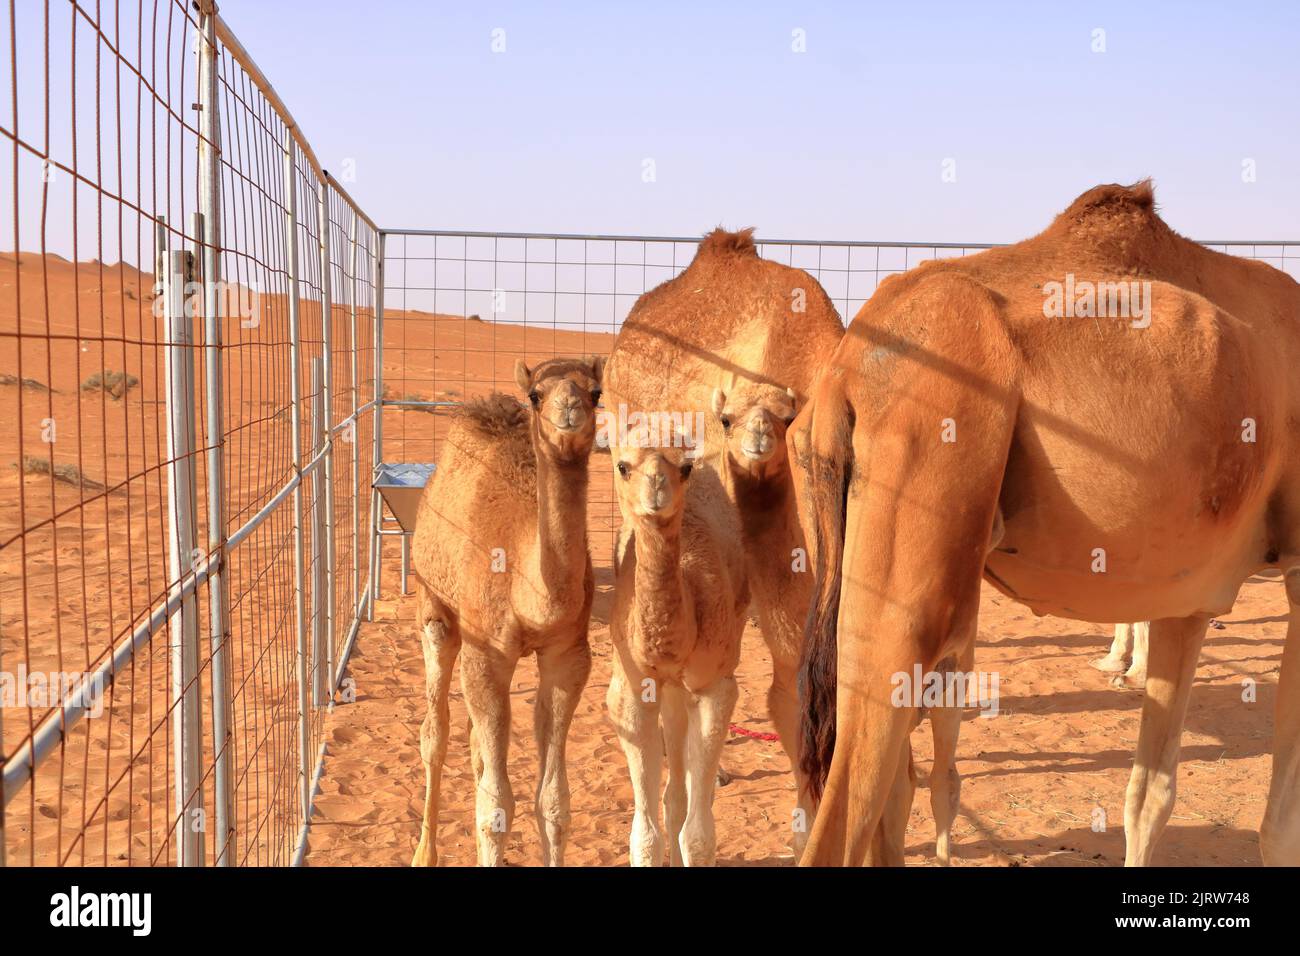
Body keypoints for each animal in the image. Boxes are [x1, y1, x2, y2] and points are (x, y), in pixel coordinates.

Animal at [408, 356, 603, 867]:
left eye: (596, 392)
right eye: (536, 394)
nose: (570, 409)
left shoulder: (568, 656)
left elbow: (553, 802)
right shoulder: (486, 652)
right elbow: (495, 805)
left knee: (476, 743)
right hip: (435, 606)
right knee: (435, 734)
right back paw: (424, 851)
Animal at [605, 426, 750, 865]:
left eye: (683, 467)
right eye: (623, 465)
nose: (657, 486)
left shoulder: (715, 686)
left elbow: (699, 834)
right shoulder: (632, 690)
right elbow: (645, 836)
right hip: (667, 690)